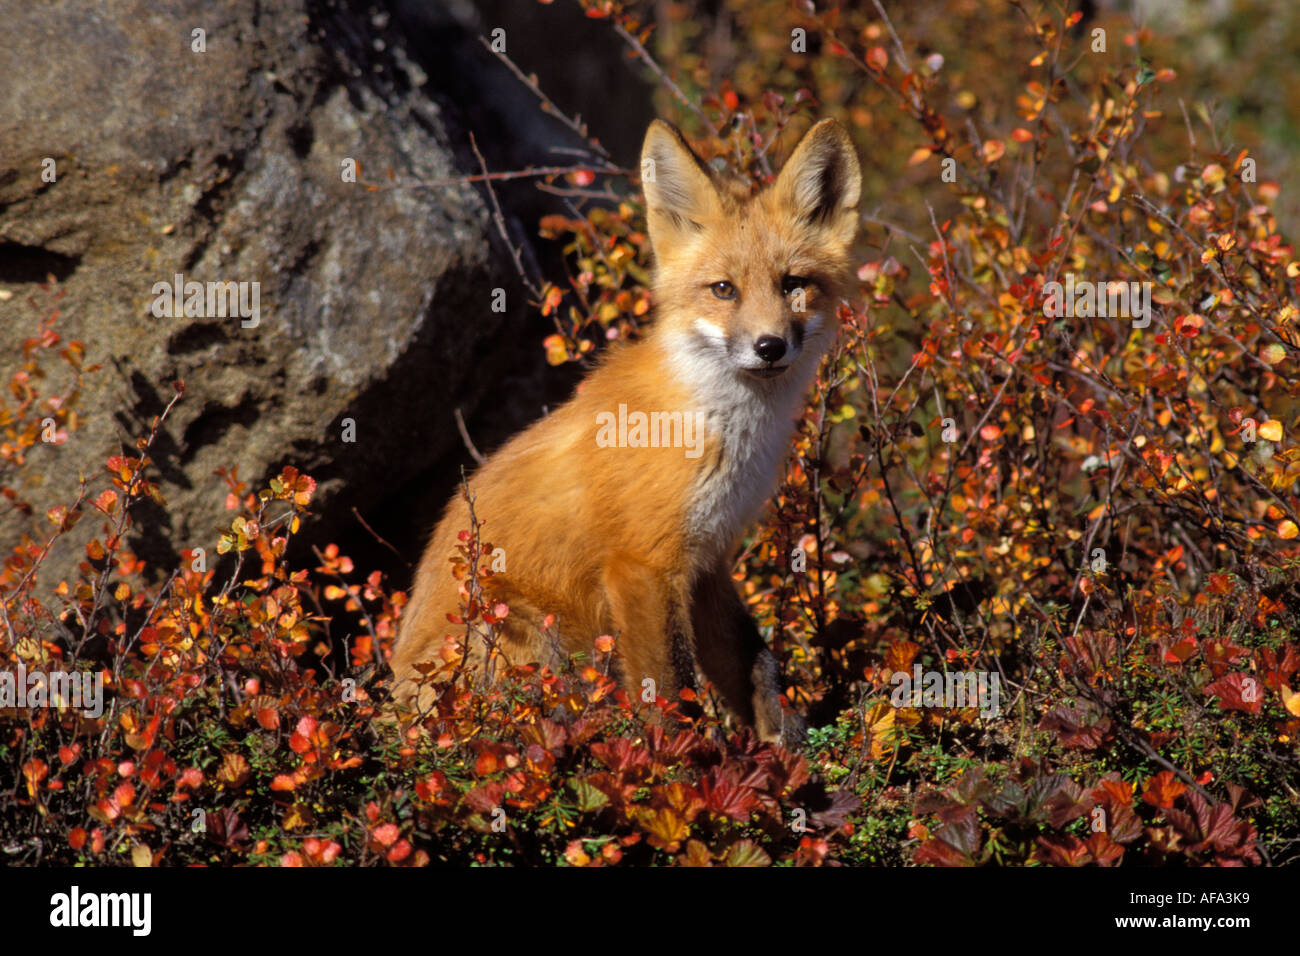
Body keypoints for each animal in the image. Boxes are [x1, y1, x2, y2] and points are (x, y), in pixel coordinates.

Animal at [390, 117, 861, 746]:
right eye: (723, 289)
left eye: (793, 284)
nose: (769, 346)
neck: (721, 428)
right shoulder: (643, 564)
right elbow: (672, 691)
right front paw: (689, 761)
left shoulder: (707, 560)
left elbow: (756, 664)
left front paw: (783, 745)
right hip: (531, 637)